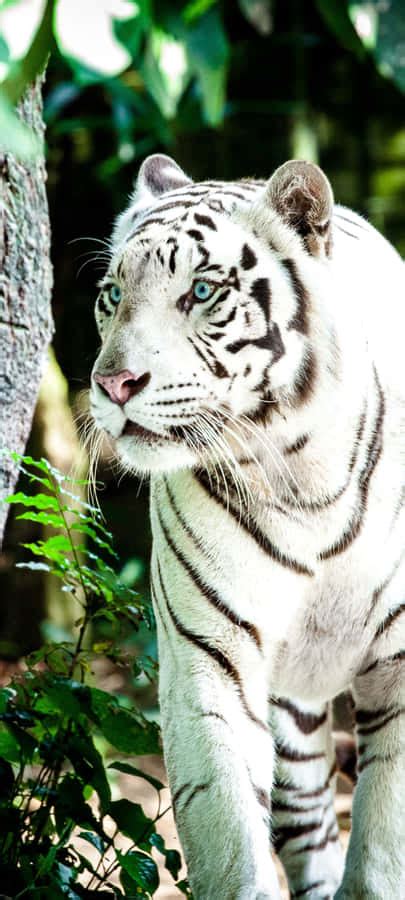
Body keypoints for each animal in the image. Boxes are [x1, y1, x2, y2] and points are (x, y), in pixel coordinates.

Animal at [89, 153, 405, 899]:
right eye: (112, 295)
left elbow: (382, 846)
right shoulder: (210, 657)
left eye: (201, 290)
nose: (112, 385)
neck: (303, 473)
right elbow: (228, 835)